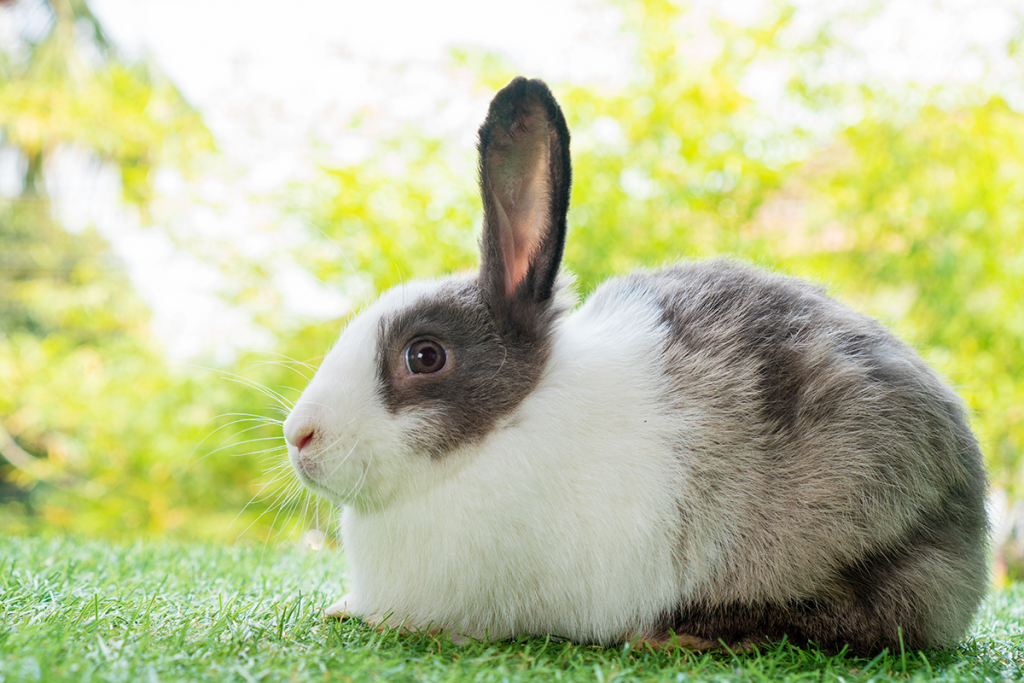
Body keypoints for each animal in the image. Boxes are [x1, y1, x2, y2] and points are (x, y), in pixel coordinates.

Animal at [282, 77, 989, 656]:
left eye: (424, 355)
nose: (299, 437)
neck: (510, 424)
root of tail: (970, 538)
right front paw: (341, 607)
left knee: (859, 622)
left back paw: (678, 635)